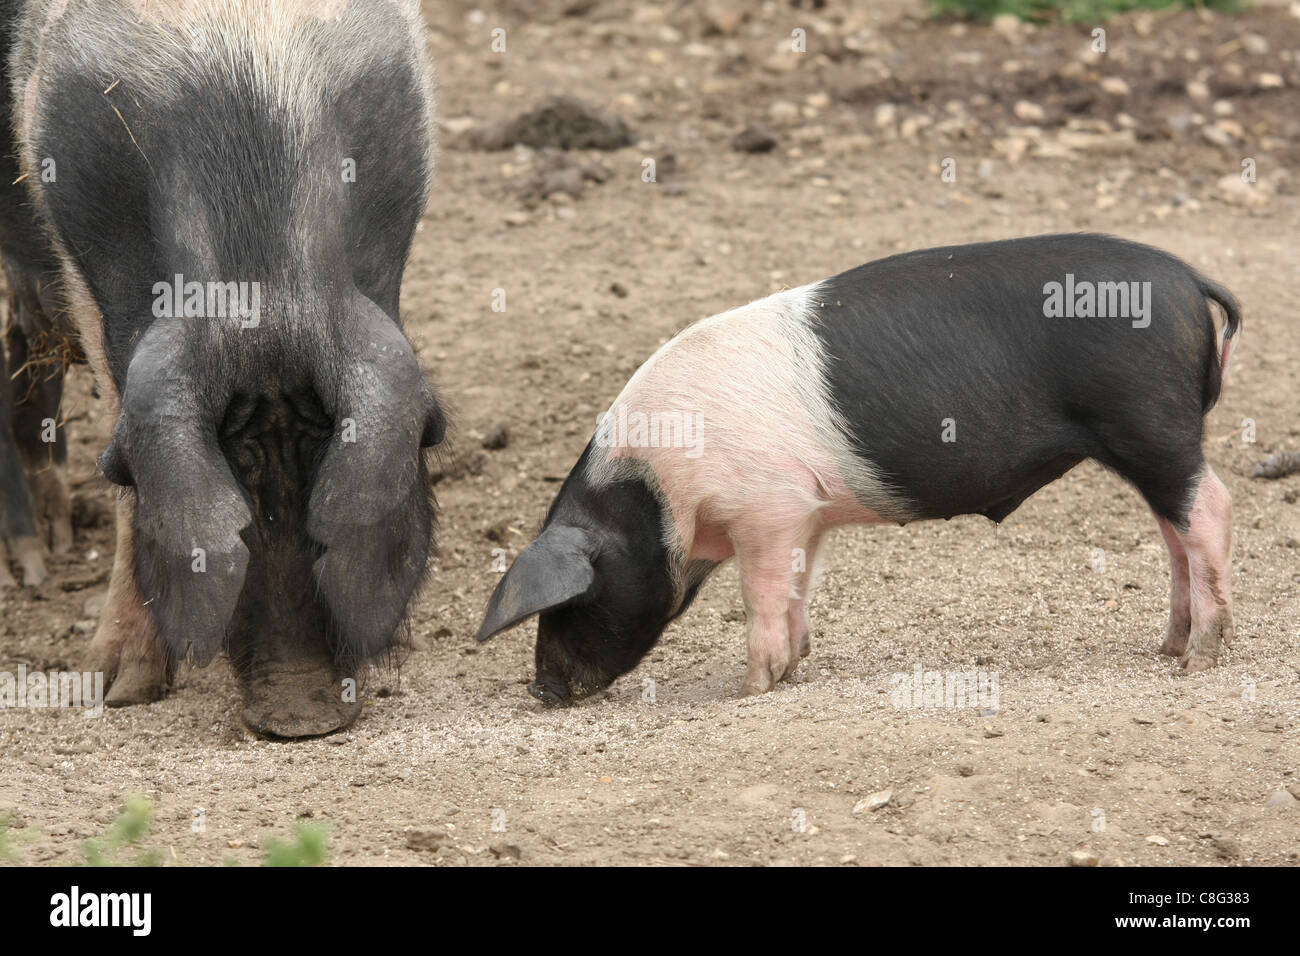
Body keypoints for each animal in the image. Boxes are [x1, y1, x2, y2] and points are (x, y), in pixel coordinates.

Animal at [476, 234, 1241, 703]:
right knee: (1175, 530)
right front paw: (793, 666)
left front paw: (751, 687)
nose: (542, 690)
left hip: (1150, 423)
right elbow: (797, 586)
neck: (659, 488)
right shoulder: (804, 514)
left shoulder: (767, 506)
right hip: (1151, 438)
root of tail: (1186, 277)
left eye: (576, 598)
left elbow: (759, 593)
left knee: (1211, 507)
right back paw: (1167, 646)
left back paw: (1201, 655)